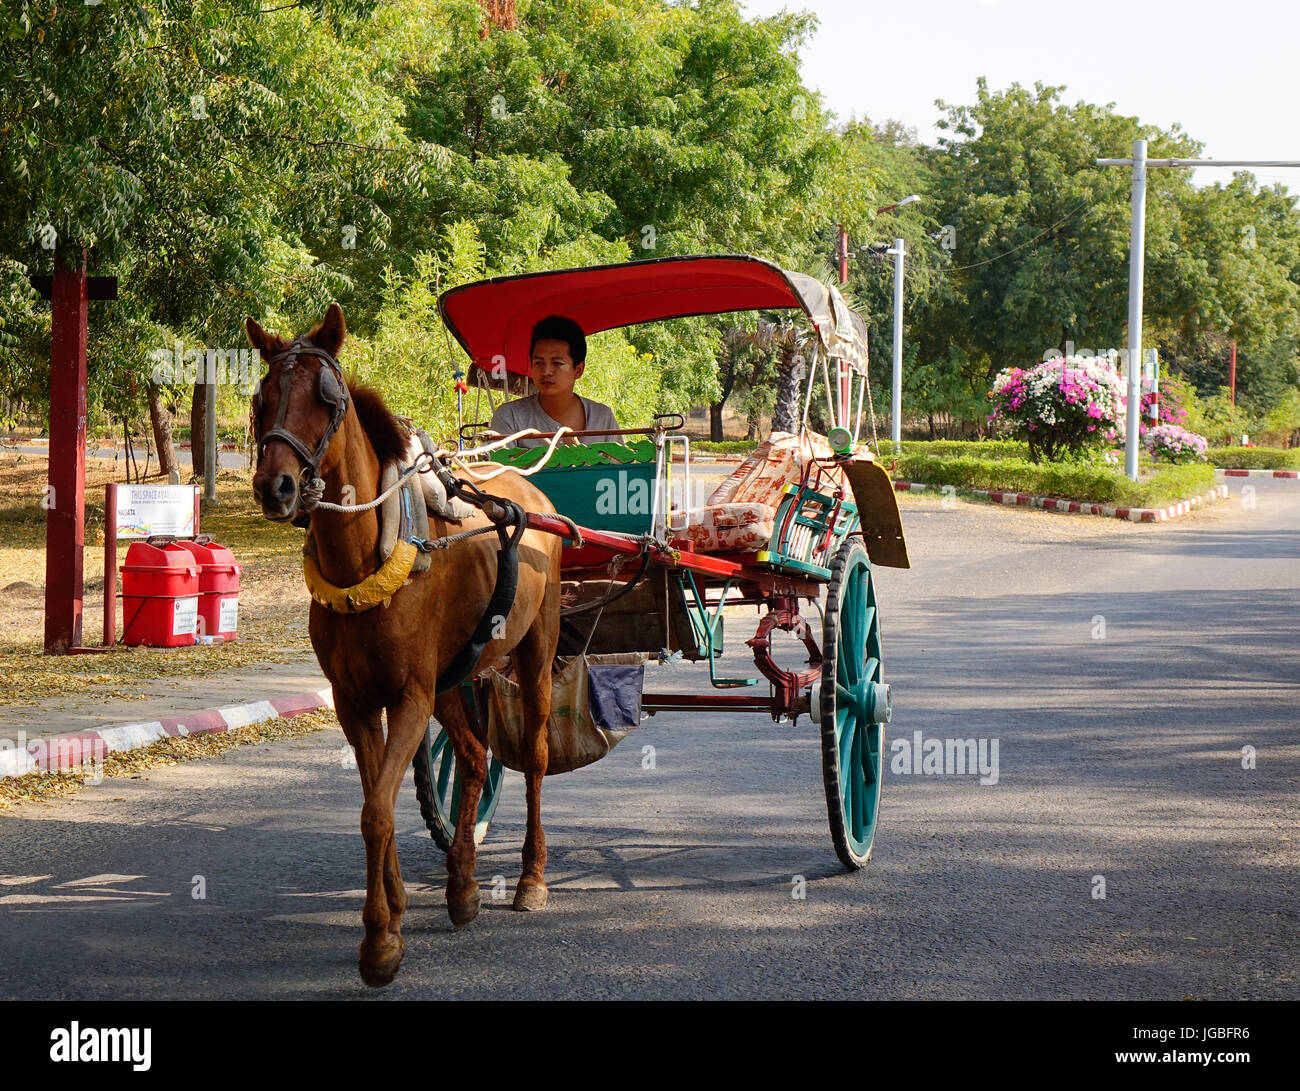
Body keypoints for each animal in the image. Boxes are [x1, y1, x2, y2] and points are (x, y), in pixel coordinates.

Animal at [247, 303, 562, 987]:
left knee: (535, 756)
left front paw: (379, 943)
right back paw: (463, 886)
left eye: (327, 399)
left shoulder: (409, 697)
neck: (366, 556)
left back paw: (531, 877)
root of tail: (531, 493)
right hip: (453, 676)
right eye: (261, 398)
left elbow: (376, 813)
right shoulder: (357, 702)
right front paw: (390, 913)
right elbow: (378, 805)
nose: (275, 488)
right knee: (472, 758)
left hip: (535, 651)